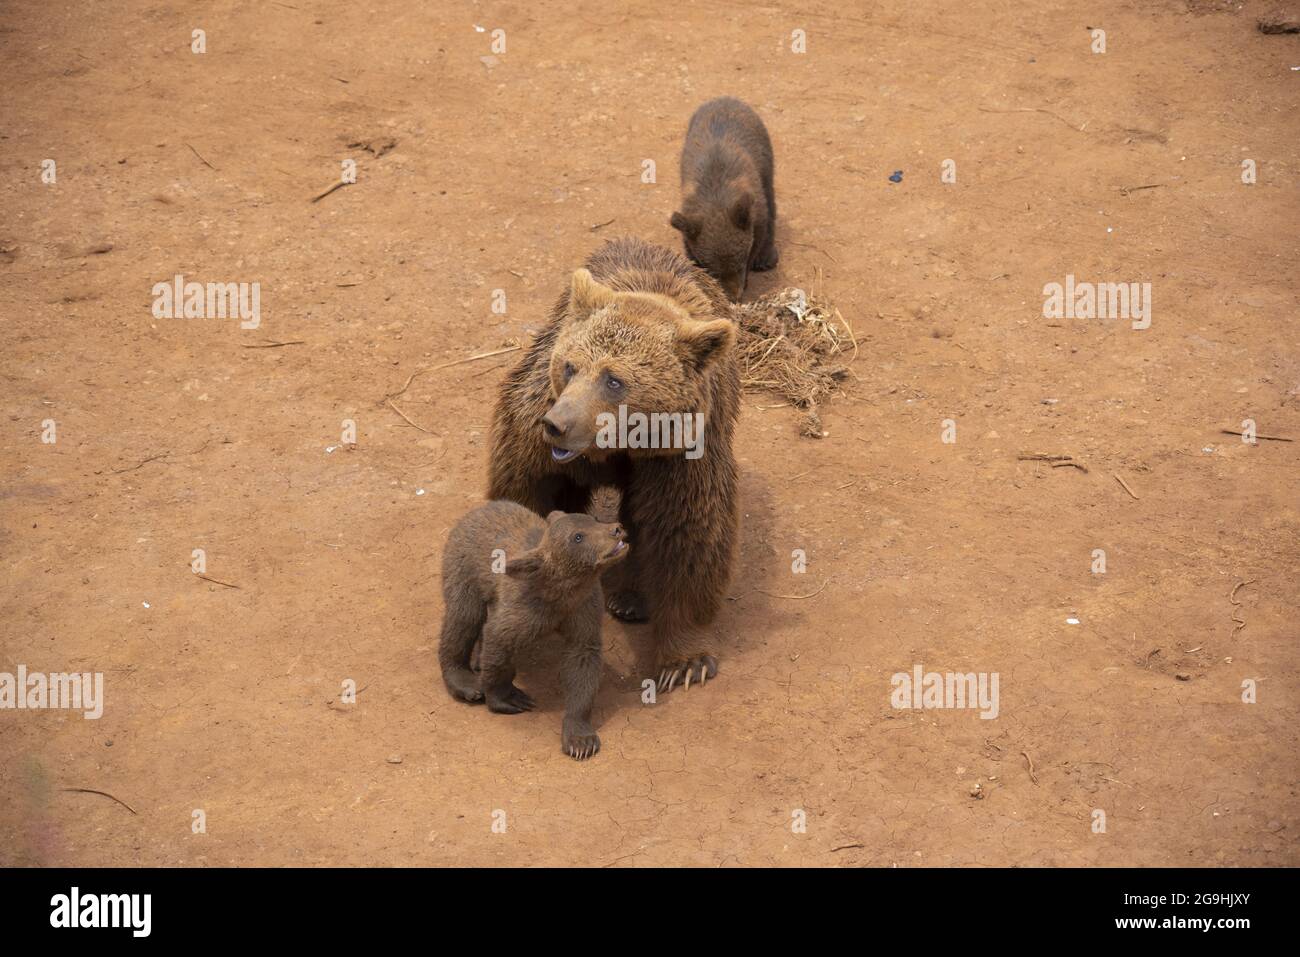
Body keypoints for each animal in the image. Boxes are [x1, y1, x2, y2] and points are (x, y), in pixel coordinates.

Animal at [438, 500, 628, 760]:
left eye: (595, 519)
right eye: (577, 537)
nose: (616, 529)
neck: (559, 594)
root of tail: (475, 511)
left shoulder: (583, 609)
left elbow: (583, 664)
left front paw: (580, 740)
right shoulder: (523, 608)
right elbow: (498, 641)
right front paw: (509, 698)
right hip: (464, 567)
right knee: (464, 617)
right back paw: (465, 680)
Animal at [488, 236, 741, 693]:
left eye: (614, 380)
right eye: (570, 365)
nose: (557, 425)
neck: (618, 446)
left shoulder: (681, 457)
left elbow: (687, 534)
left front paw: (686, 661)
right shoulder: (535, 435)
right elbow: (525, 491)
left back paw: (629, 598)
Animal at [670, 96, 778, 301]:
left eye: (741, 263)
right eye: (713, 269)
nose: (734, 297)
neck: (716, 199)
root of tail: (725, 98)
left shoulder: (756, 217)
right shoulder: (689, 223)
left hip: (767, 170)